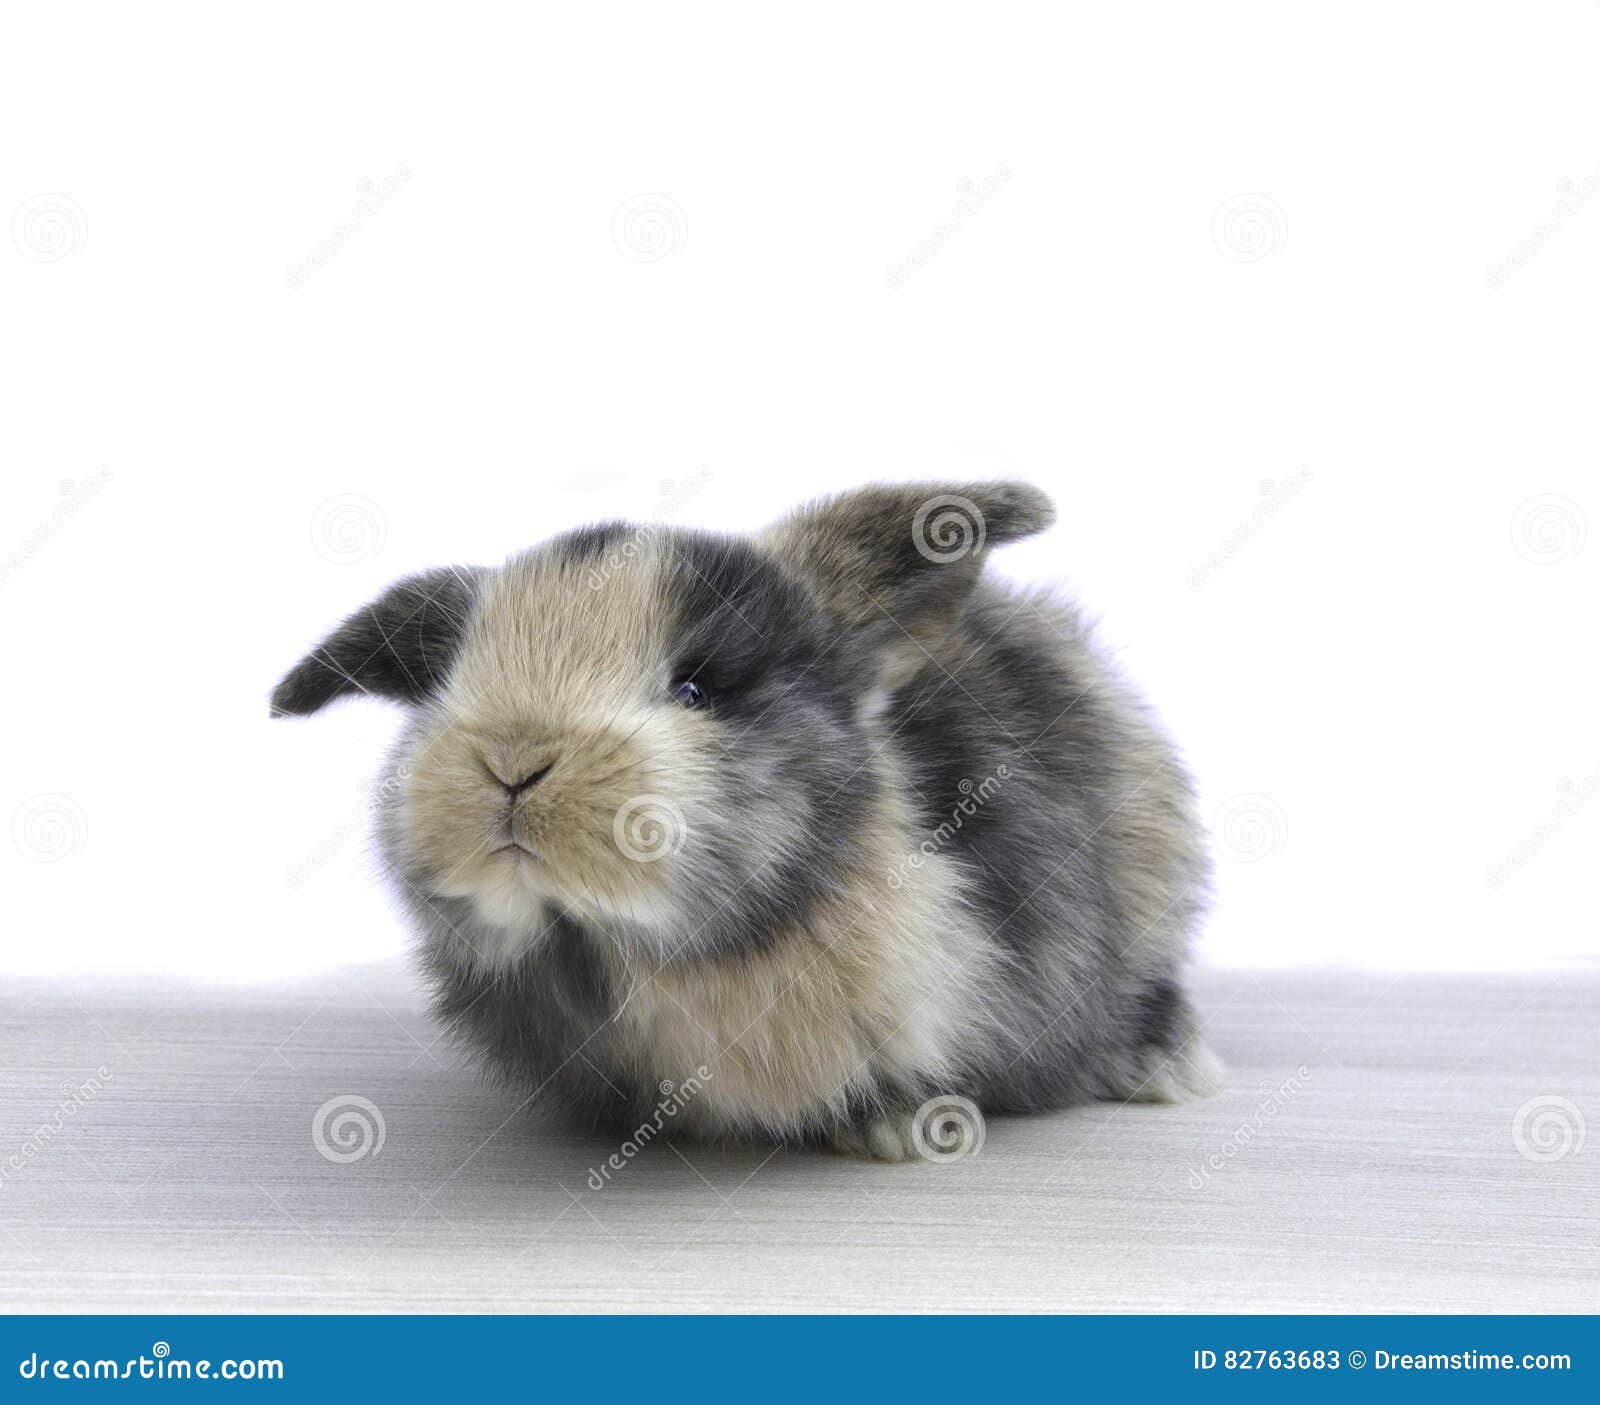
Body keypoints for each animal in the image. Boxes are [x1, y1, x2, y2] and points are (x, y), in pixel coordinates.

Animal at [271, 481, 1218, 1160]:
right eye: (450, 686)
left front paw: (901, 1130)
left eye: (697, 688)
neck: (648, 953)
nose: (514, 760)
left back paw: (1163, 1067)